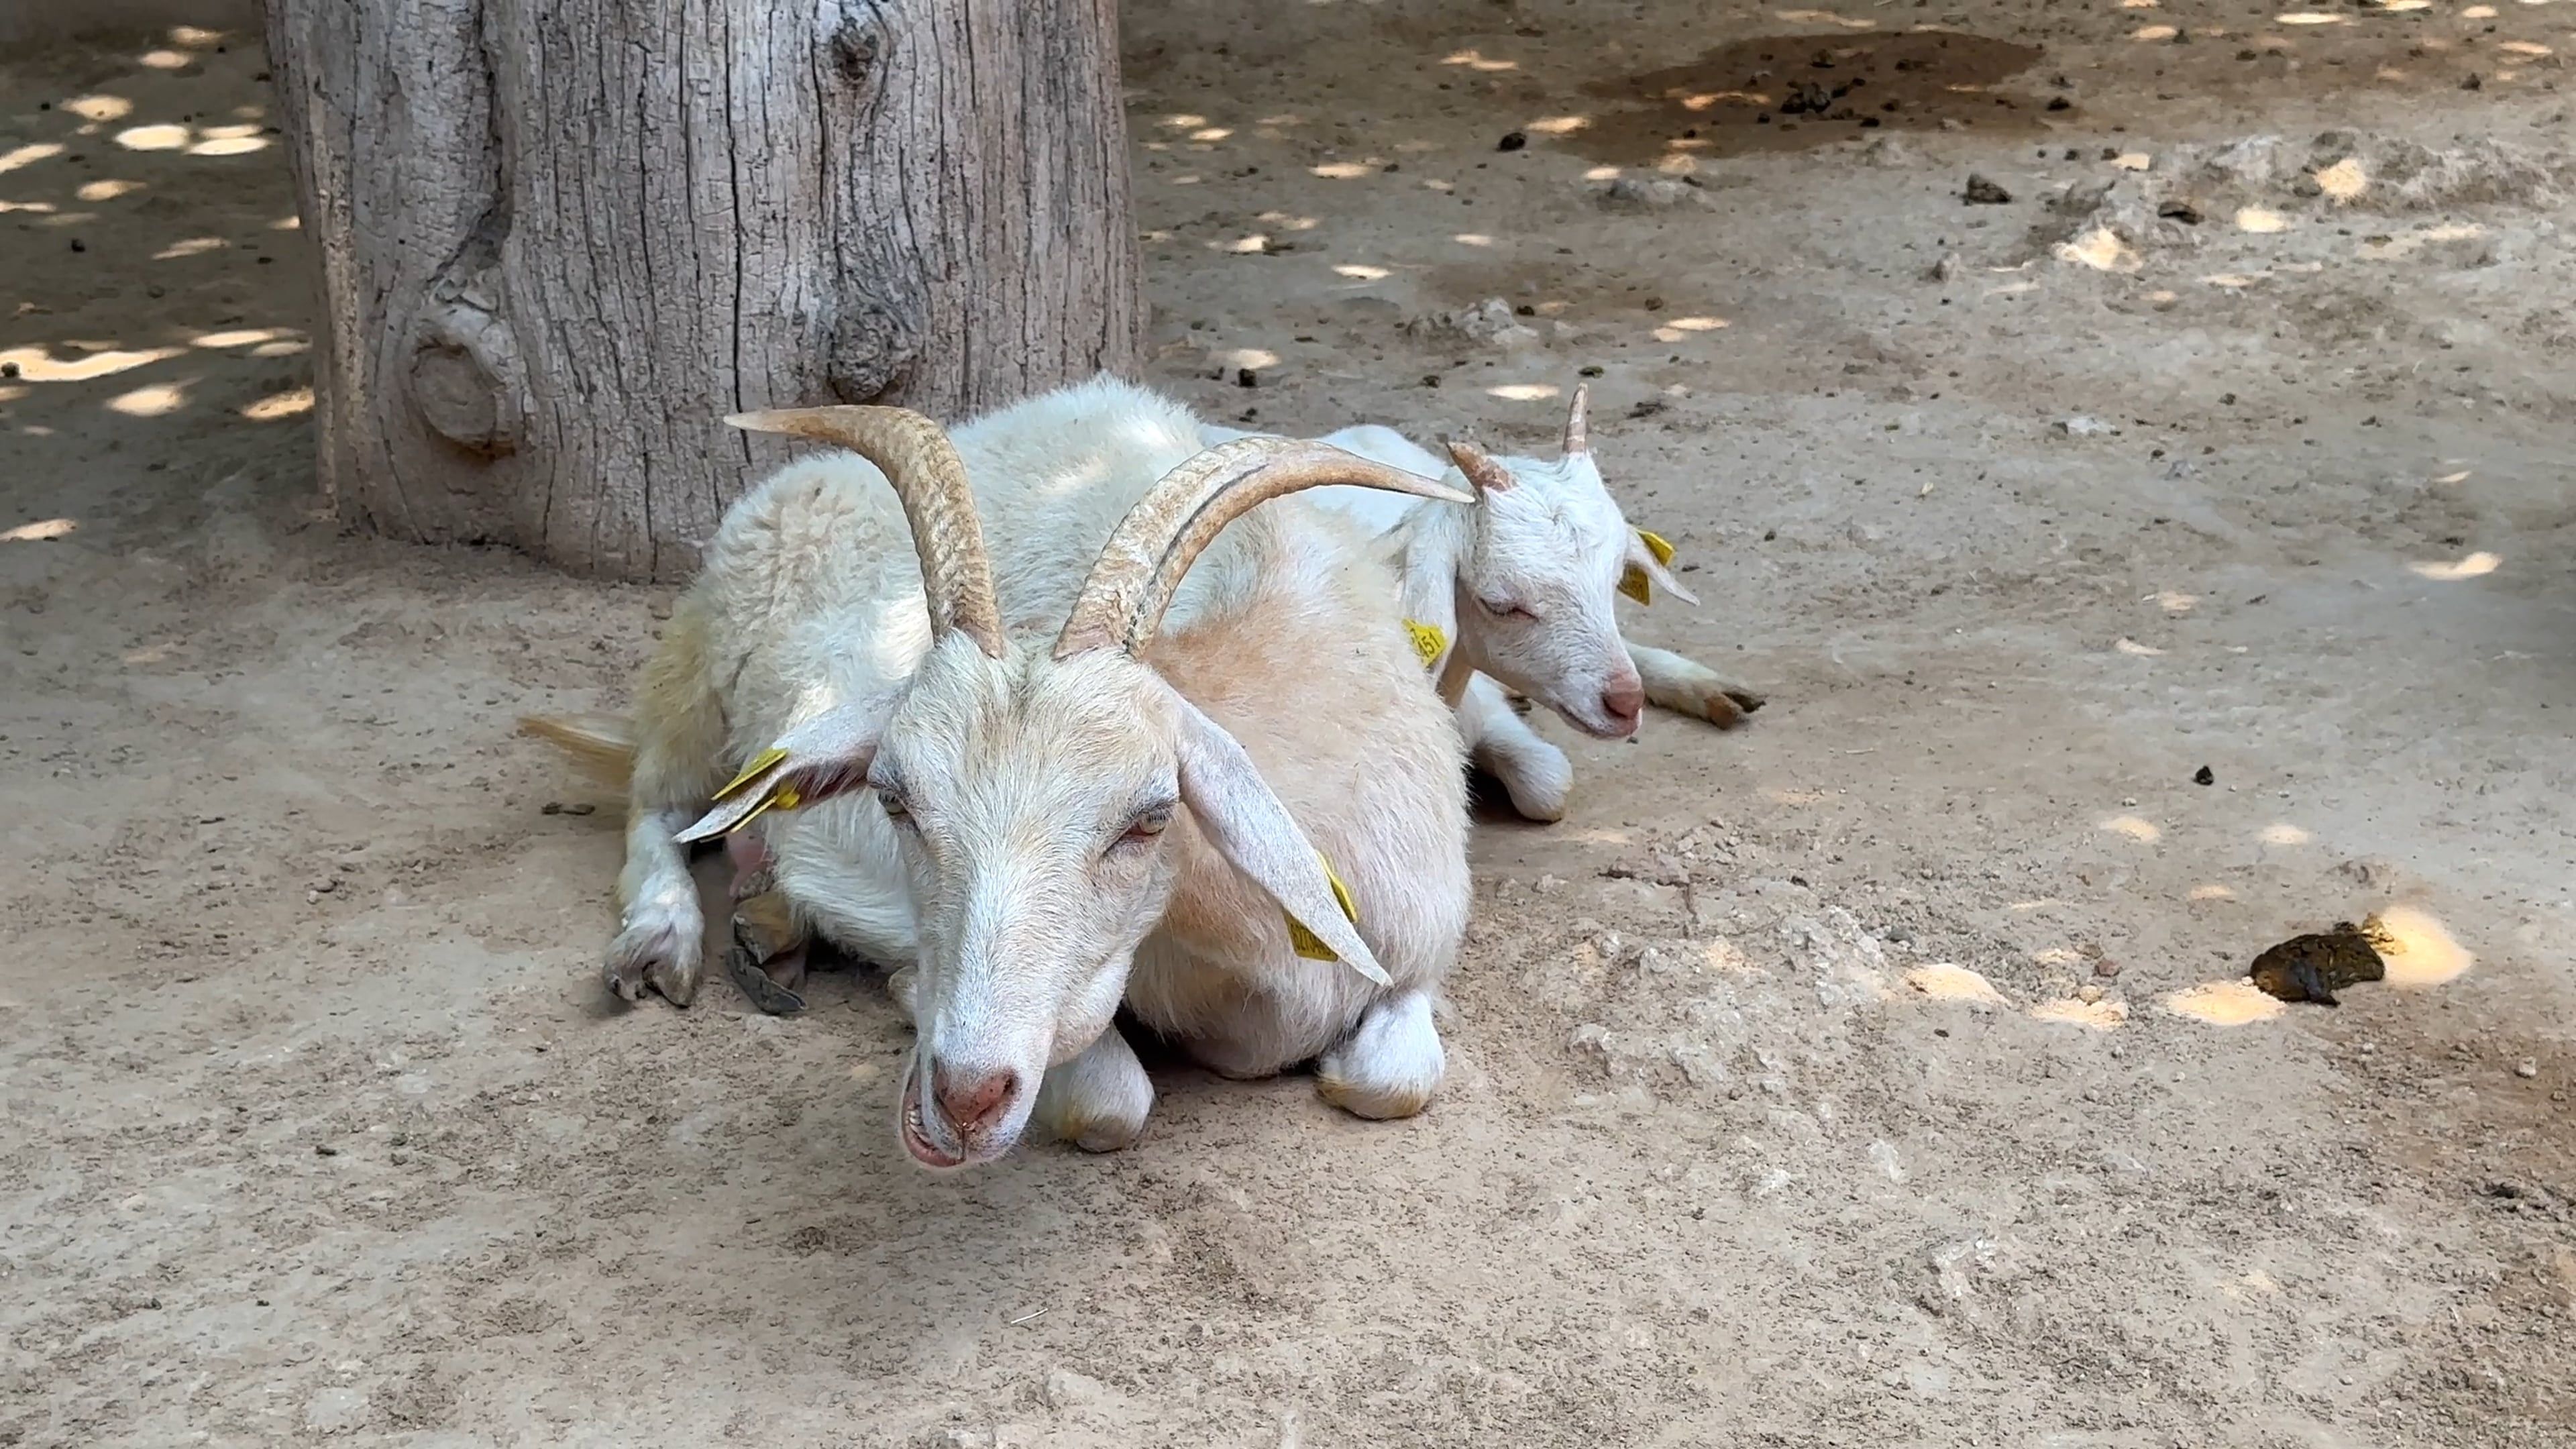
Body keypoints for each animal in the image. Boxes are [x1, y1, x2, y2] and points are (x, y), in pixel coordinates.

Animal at [525, 379, 1474, 1168]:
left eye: (1149, 817)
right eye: (894, 800)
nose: (962, 1101)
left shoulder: (1420, 948)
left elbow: (1397, 1084)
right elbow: (1110, 1107)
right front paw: (907, 988)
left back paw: (770, 916)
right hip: (696, 673)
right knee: (659, 806)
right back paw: (662, 937)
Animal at [1202, 385, 1763, 821]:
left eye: (1613, 582)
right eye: (1501, 603)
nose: (1624, 704)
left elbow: (1547, 784)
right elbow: (1544, 785)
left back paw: (1716, 691)